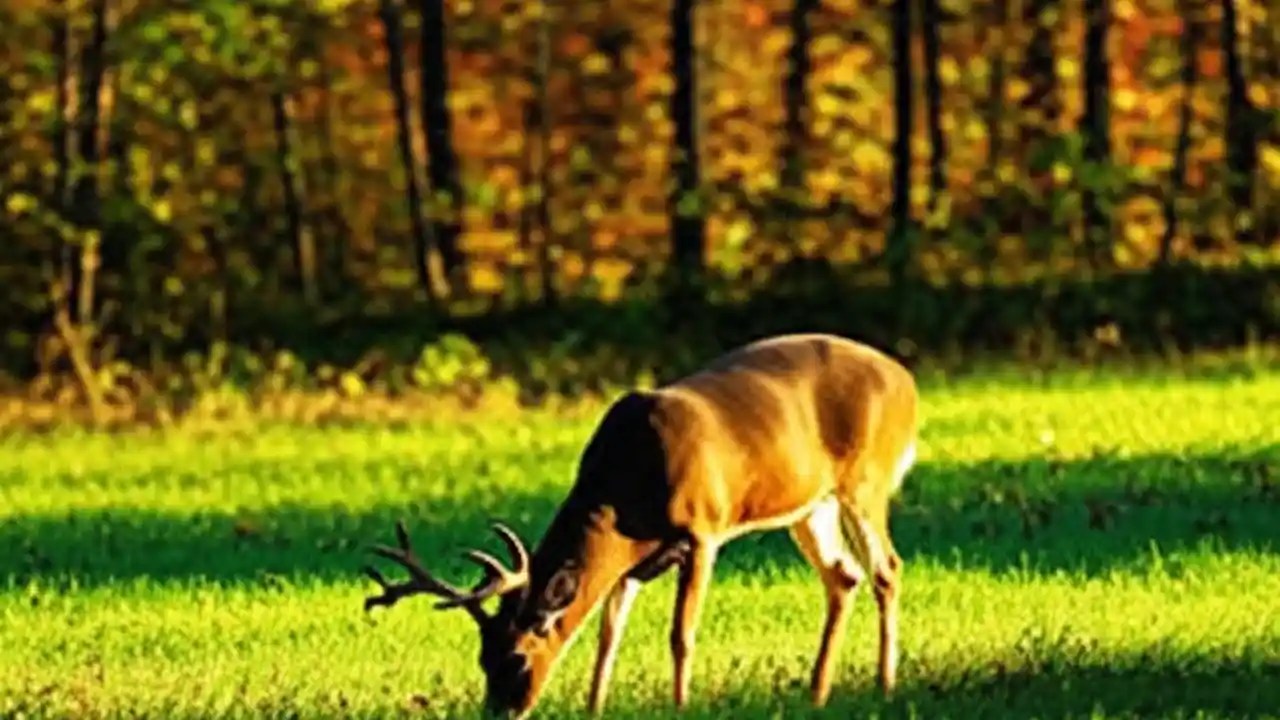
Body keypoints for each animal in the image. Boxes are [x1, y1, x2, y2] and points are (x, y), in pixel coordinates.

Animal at [362, 333, 919, 718]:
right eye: (482, 657)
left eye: (517, 658)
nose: (500, 711)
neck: (626, 491)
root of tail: (907, 382)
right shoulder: (631, 561)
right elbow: (608, 636)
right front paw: (594, 709)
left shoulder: (703, 530)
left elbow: (681, 632)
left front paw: (679, 705)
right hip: (810, 507)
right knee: (843, 575)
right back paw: (817, 694)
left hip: (865, 481)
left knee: (887, 568)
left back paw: (884, 685)